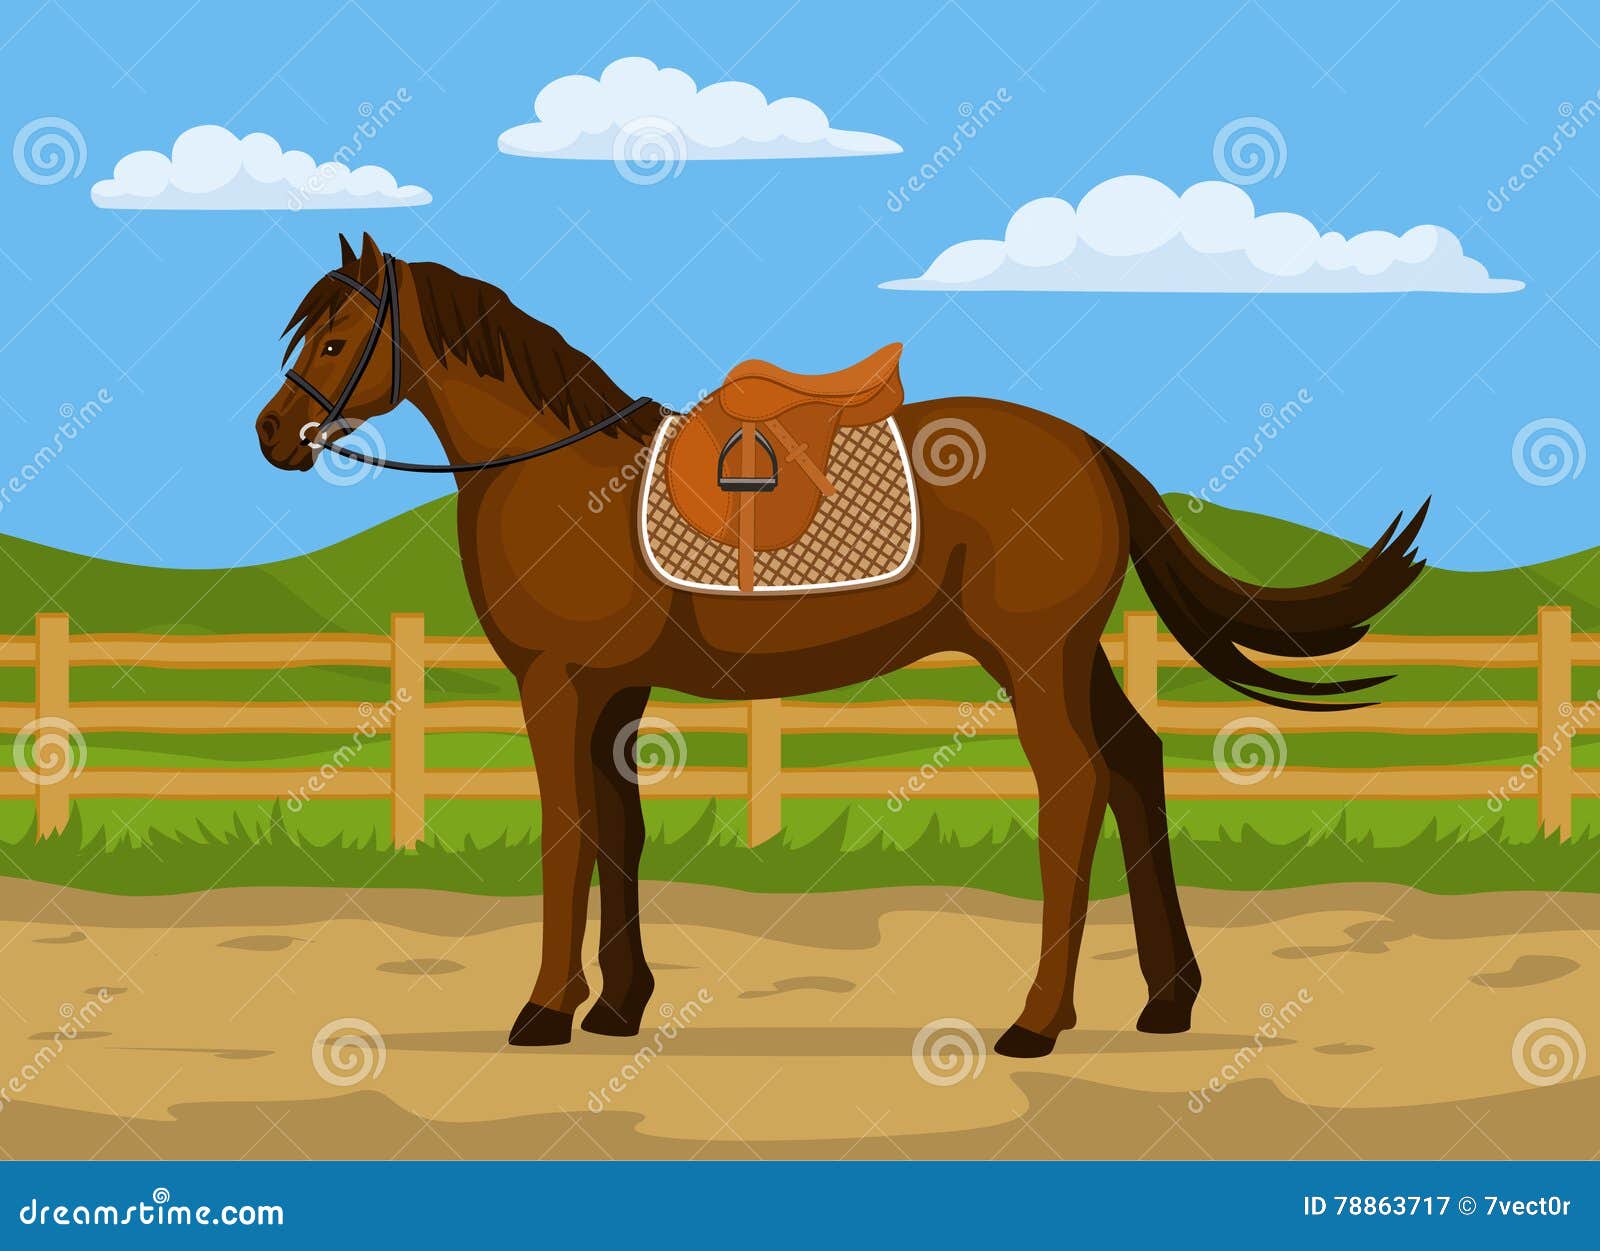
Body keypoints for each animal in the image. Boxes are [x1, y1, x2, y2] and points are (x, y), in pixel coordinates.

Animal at [254, 233, 1427, 1058]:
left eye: (334, 341)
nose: (272, 435)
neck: (559, 473)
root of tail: (1094, 452)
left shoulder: (559, 684)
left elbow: (567, 834)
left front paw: (546, 1009)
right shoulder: (617, 691)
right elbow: (621, 832)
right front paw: (618, 1008)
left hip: (1032, 657)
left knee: (1074, 786)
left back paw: (1036, 1022)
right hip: (1069, 652)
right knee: (1137, 761)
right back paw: (1168, 1001)